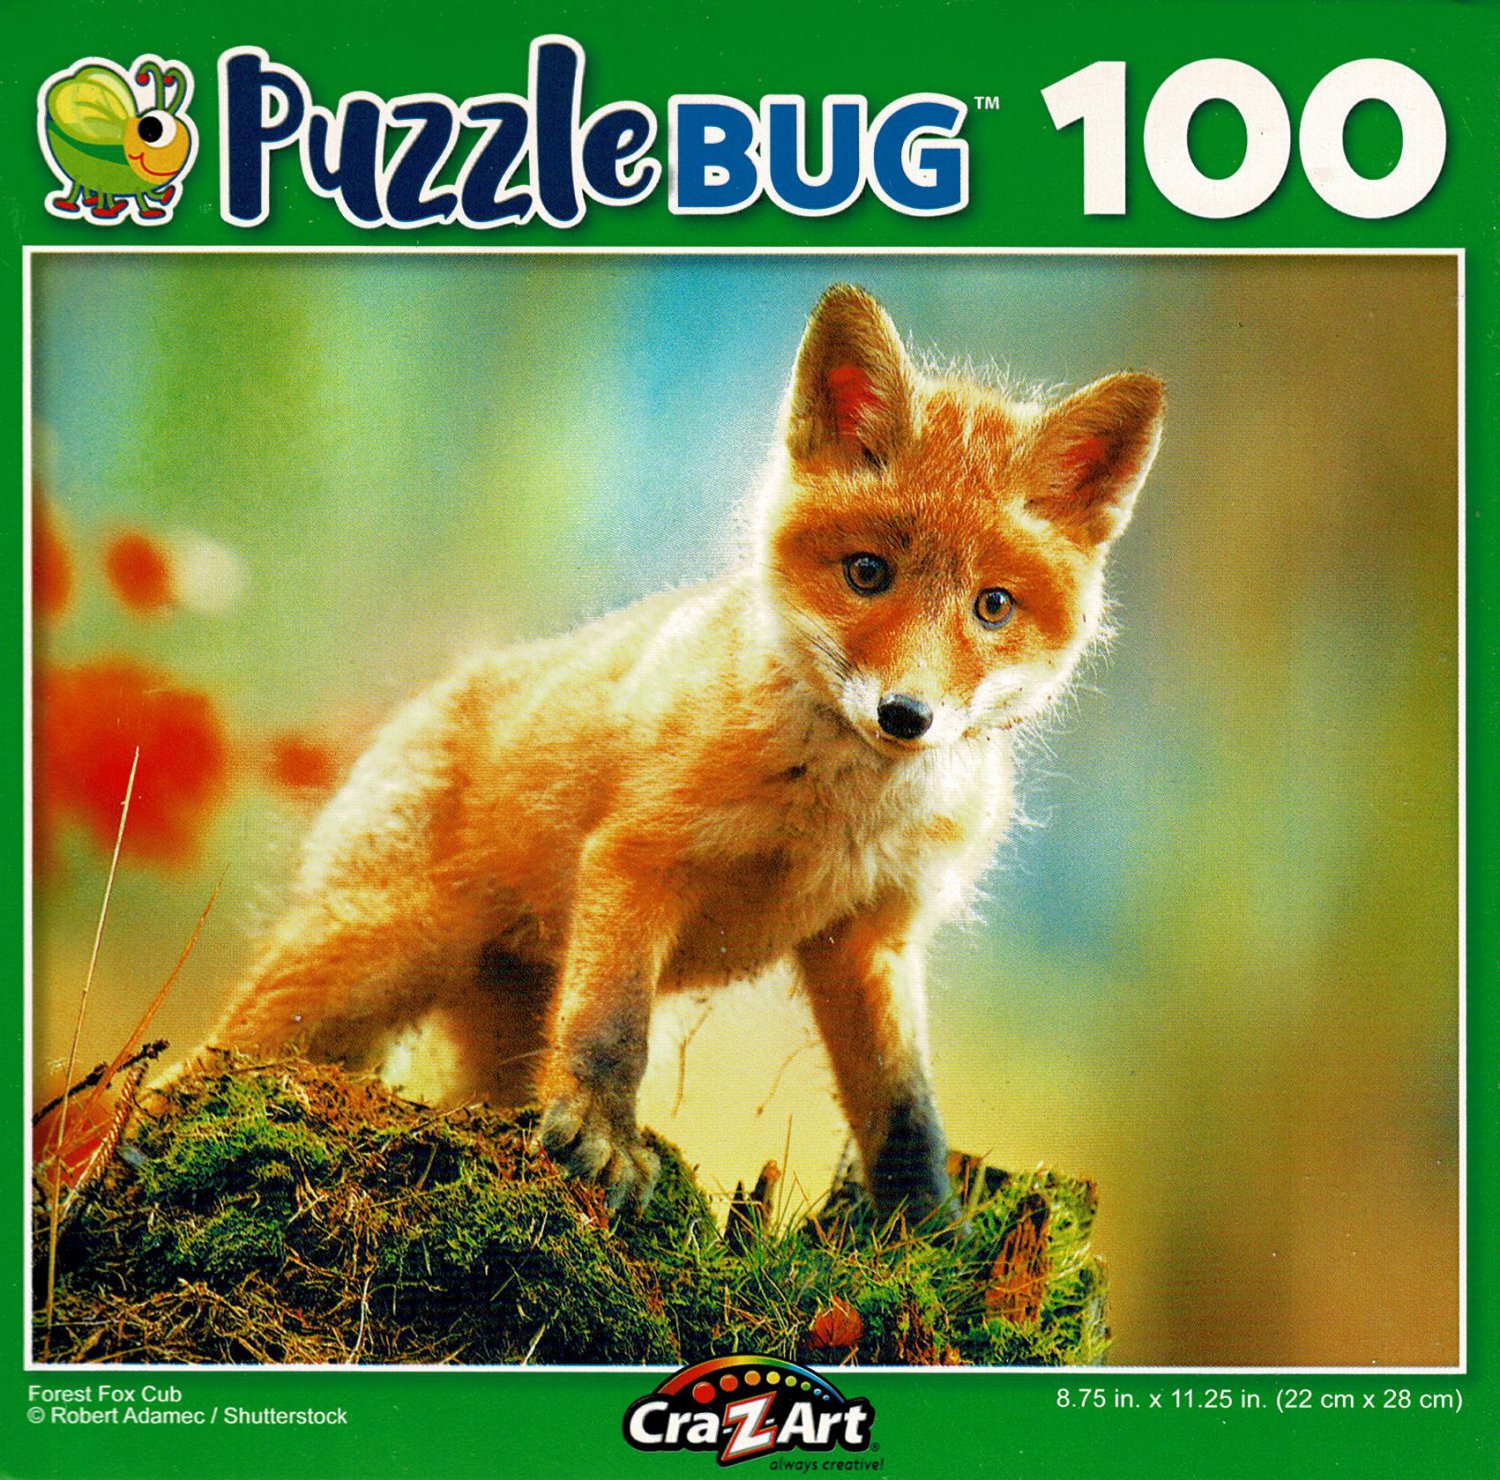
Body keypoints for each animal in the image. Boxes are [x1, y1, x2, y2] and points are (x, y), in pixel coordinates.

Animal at [212, 283, 1164, 1221]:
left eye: (992, 606)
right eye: (867, 573)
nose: (906, 715)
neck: (836, 816)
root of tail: (429, 695)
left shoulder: (870, 936)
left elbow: (905, 1113)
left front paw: (924, 1229)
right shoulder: (639, 858)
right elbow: (611, 1030)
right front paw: (602, 1140)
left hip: (494, 1023)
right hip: (375, 955)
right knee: (218, 1054)